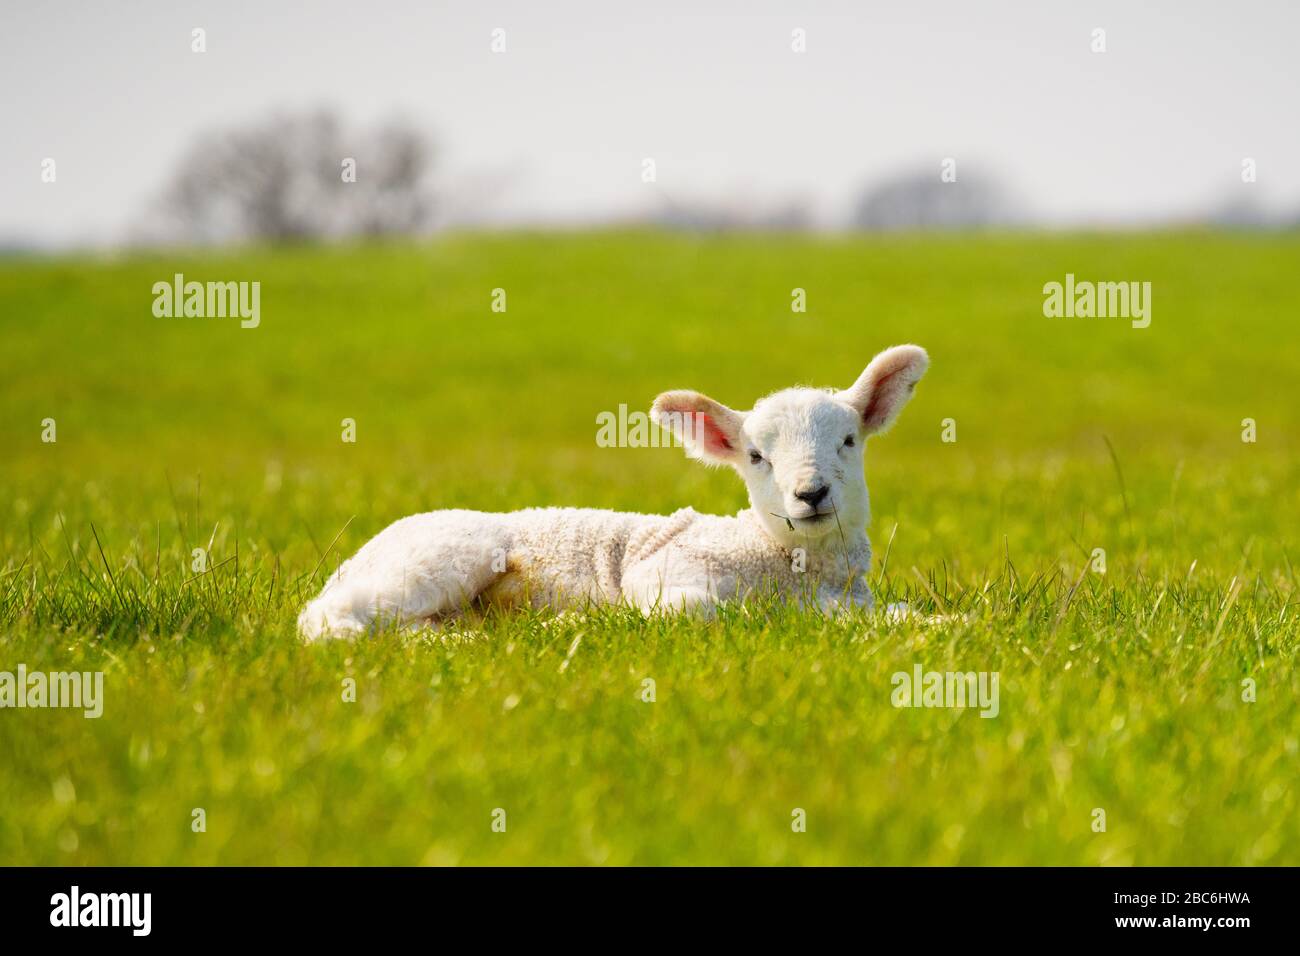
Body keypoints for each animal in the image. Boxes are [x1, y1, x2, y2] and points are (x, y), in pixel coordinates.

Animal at [297, 344, 929, 640]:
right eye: (756, 457)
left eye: (849, 440)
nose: (810, 493)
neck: (785, 561)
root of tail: (359, 554)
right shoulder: (663, 573)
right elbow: (698, 609)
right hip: (443, 554)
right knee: (328, 618)